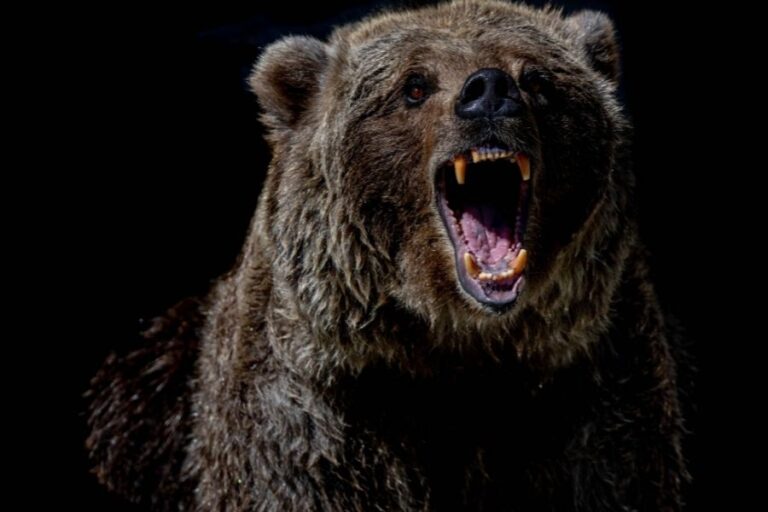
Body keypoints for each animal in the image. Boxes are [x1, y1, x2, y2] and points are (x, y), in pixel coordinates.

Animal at [86, 0, 688, 510]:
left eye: (537, 78)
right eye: (414, 86)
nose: (489, 90)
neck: (455, 347)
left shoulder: (589, 397)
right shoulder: (314, 419)